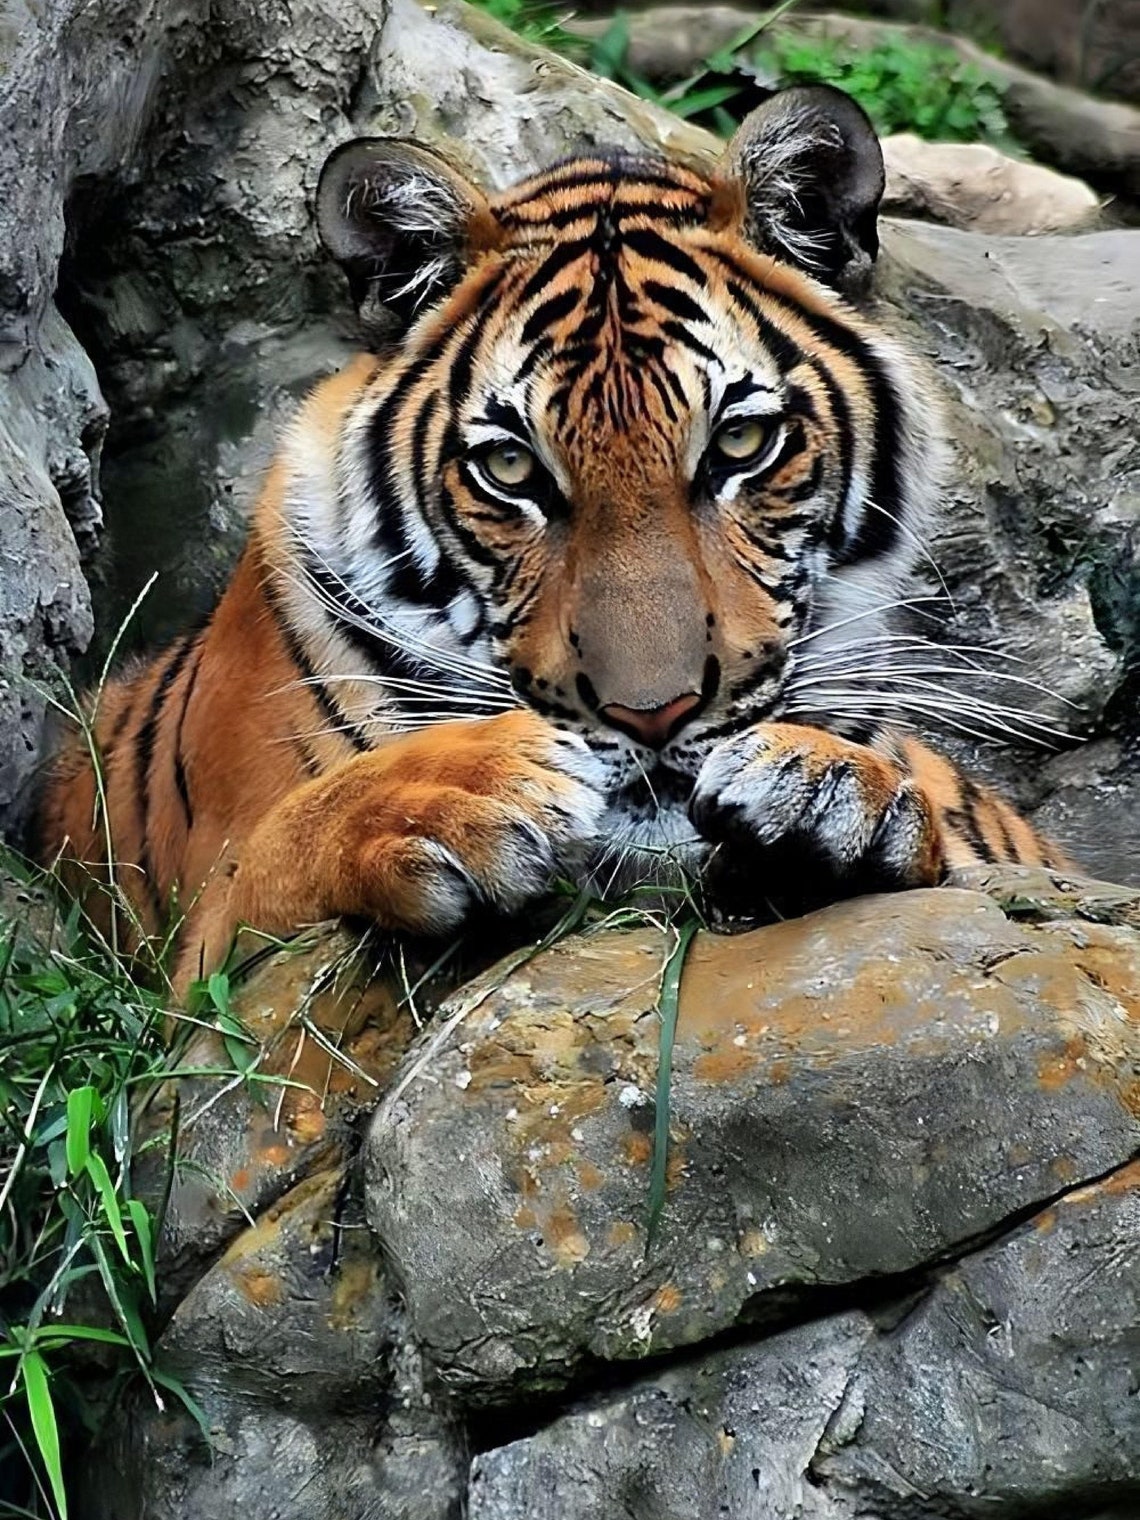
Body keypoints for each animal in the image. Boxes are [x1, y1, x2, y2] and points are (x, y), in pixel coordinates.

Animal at [33, 84, 1069, 993]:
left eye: (739, 445)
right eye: (513, 468)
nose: (652, 717)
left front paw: (831, 790)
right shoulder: (197, 951)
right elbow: (285, 844)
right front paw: (462, 796)